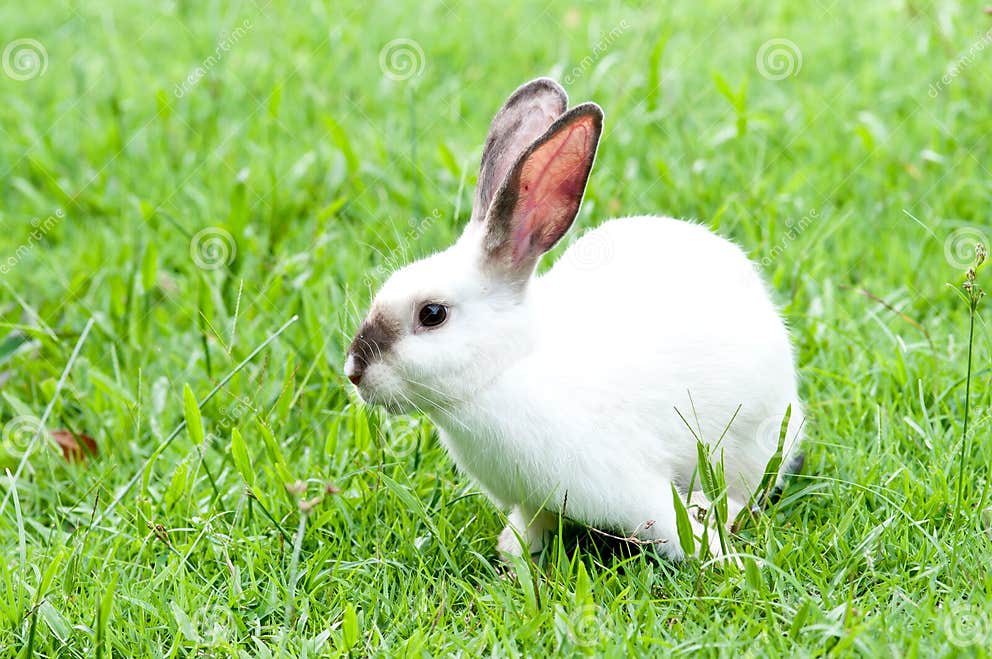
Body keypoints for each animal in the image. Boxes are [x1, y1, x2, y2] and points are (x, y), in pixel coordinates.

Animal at [344, 78, 805, 561]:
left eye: (432, 314)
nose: (354, 371)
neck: (505, 370)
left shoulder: (637, 490)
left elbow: (675, 528)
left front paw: (721, 558)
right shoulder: (533, 501)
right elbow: (531, 527)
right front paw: (513, 555)